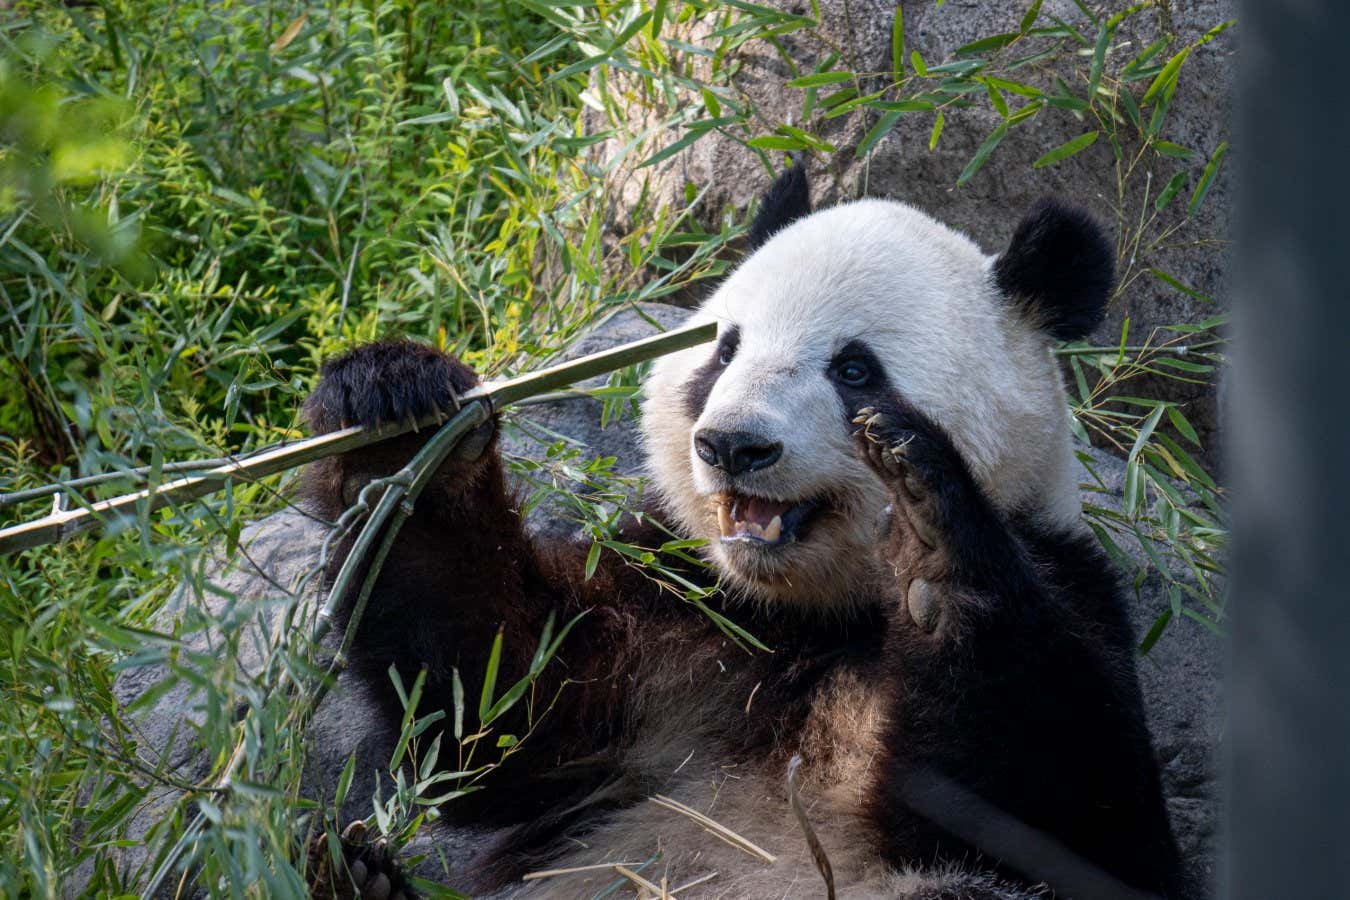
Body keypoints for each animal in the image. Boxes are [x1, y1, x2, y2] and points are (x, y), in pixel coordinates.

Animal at [301, 165, 1184, 900]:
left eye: (854, 368)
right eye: (723, 351)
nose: (733, 446)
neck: (818, 617)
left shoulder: (1074, 585)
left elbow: (1071, 816)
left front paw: (932, 540)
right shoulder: (681, 611)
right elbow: (496, 710)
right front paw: (400, 429)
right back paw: (357, 878)